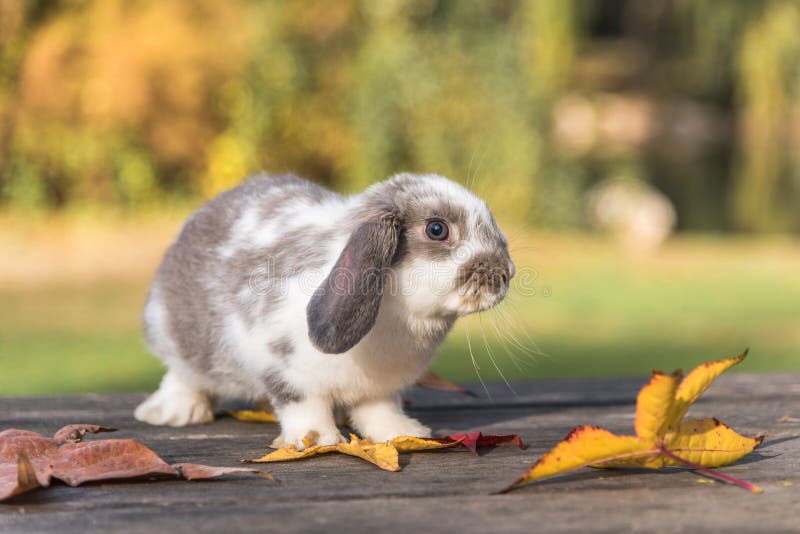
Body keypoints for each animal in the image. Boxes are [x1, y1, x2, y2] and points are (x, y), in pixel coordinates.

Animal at [134, 172, 515, 448]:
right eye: (437, 229)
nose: (506, 273)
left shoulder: (381, 389)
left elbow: (379, 411)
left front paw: (404, 433)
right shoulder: (285, 370)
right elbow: (303, 406)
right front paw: (317, 441)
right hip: (176, 337)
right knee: (182, 375)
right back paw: (175, 412)